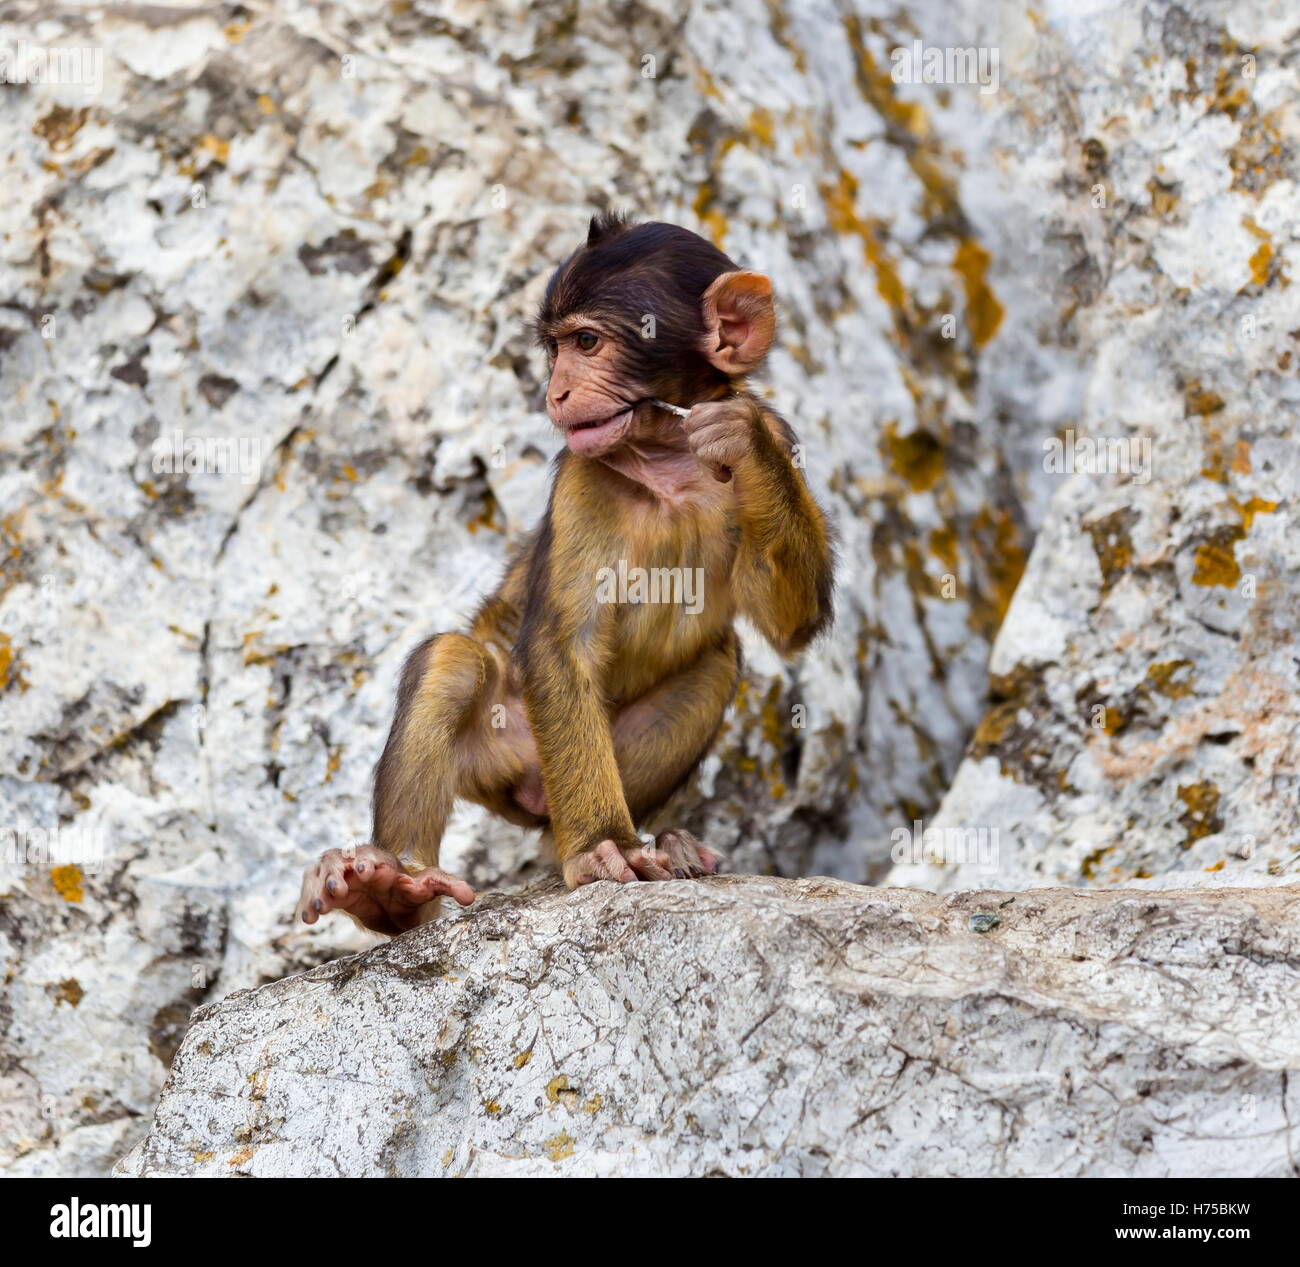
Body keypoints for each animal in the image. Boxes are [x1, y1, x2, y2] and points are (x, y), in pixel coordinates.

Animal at [298, 213, 834, 935]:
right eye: (556, 350)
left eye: (587, 342)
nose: (555, 392)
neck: (667, 461)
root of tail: (531, 788)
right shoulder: (586, 478)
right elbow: (559, 643)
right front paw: (606, 846)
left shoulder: (780, 434)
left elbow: (789, 623)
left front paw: (738, 438)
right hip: (505, 749)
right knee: (454, 660)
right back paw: (390, 890)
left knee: (718, 659)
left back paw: (653, 843)